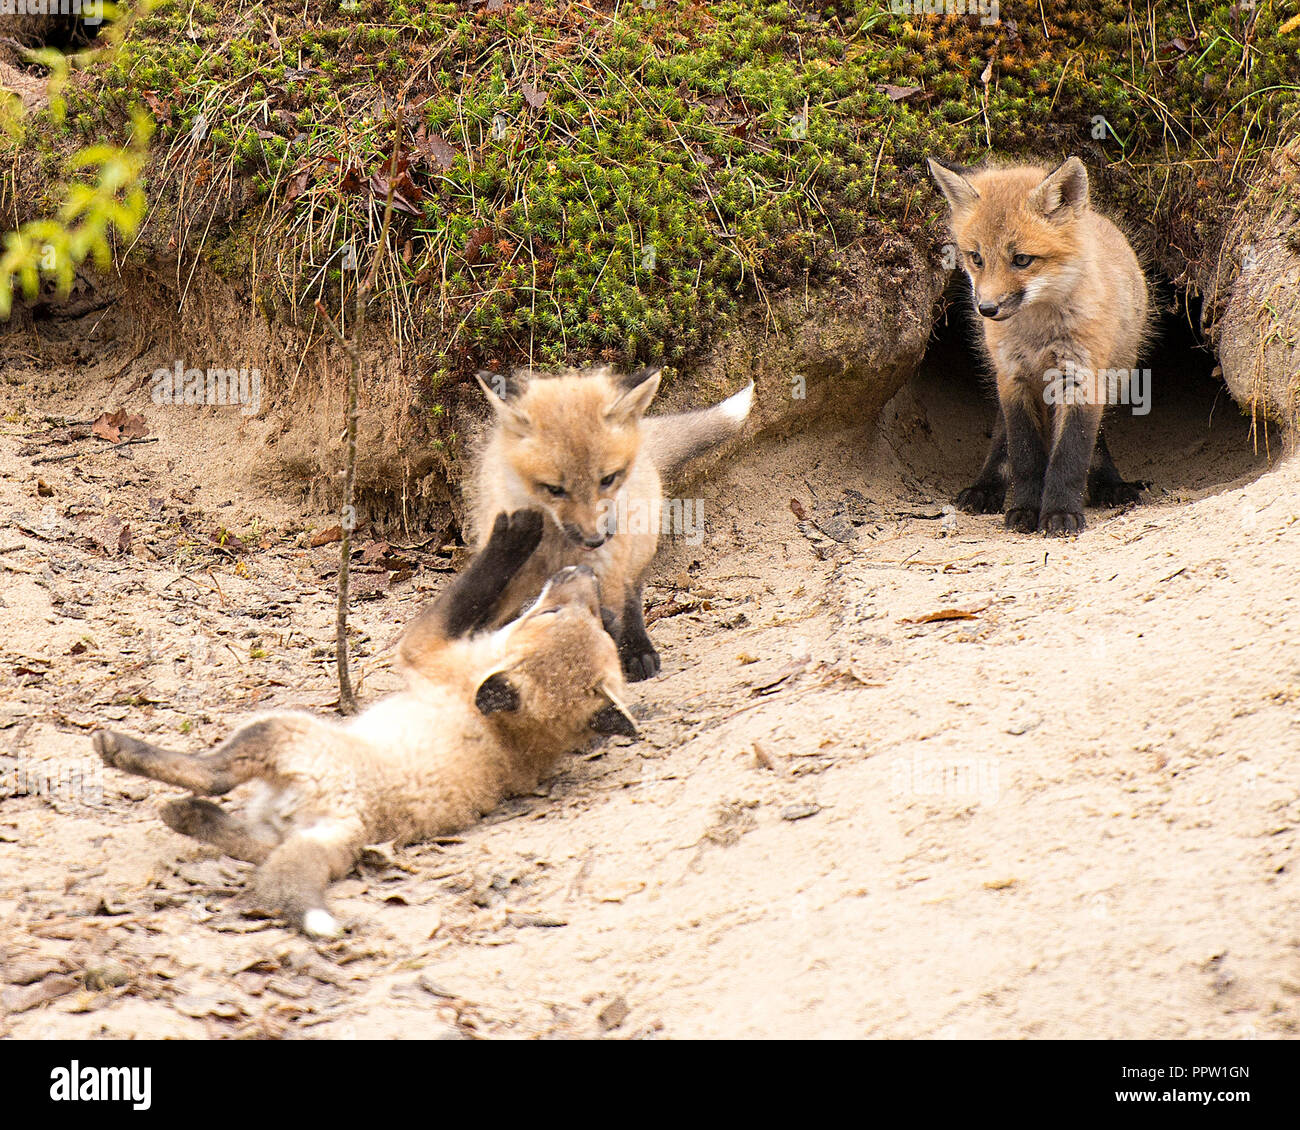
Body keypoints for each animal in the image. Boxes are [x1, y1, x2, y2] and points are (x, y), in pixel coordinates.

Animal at [93, 509, 637, 939]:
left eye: (549, 611)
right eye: (564, 610)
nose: (585, 569)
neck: (523, 735)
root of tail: (355, 825)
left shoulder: (424, 646)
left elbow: (471, 588)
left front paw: (515, 532)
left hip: (281, 730)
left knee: (214, 777)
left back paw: (125, 752)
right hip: (278, 828)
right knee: (252, 848)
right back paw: (187, 815)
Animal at [469, 364, 754, 681]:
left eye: (607, 479)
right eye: (554, 489)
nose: (595, 539)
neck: (556, 548)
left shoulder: (604, 568)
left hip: (636, 548)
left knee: (630, 596)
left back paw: (638, 651)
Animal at [927, 156, 1150, 535]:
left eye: (1022, 260)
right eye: (976, 258)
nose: (987, 309)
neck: (1038, 333)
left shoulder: (1081, 378)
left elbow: (1071, 455)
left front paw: (1060, 513)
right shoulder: (1013, 378)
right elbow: (1025, 454)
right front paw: (1026, 510)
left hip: (1114, 375)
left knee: (1097, 441)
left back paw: (1109, 483)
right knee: (1002, 435)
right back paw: (986, 487)